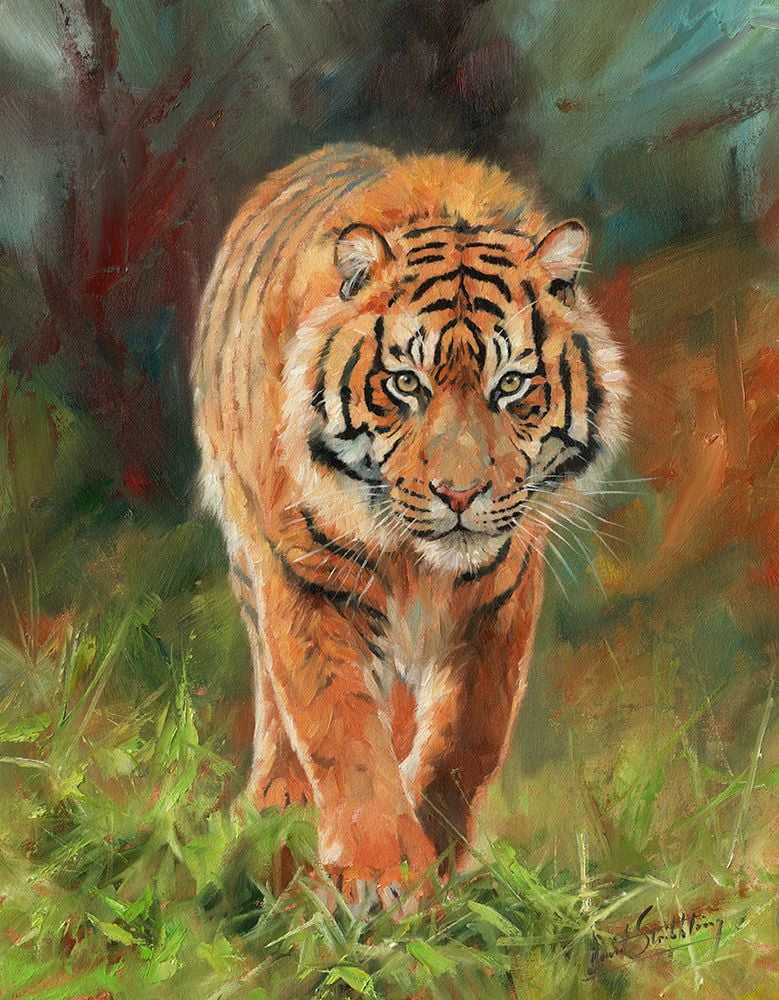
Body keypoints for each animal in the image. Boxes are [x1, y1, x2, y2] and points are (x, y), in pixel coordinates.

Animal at [191, 144, 627, 906]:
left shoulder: (501, 595)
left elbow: (468, 738)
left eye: (511, 385)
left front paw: (438, 862)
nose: (459, 493)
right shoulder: (308, 582)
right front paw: (380, 874)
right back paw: (277, 797)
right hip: (248, 546)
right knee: (274, 688)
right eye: (404, 385)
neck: (418, 563)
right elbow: (340, 728)